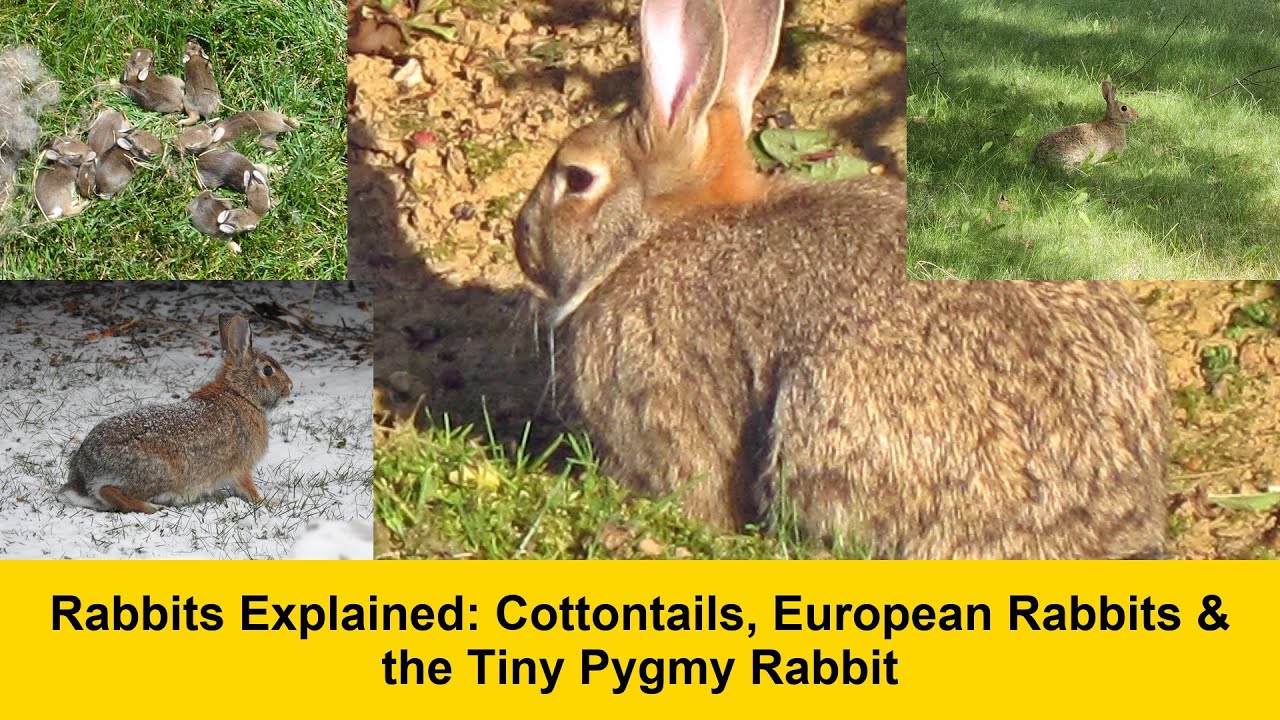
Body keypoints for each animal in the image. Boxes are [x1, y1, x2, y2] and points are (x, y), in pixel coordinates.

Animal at [58, 313, 293, 514]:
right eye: (268, 370)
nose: (290, 387)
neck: (240, 393)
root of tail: (82, 476)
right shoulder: (241, 466)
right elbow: (248, 489)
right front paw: (269, 502)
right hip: (160, 472)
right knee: (110, 492)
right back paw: (151, 507)